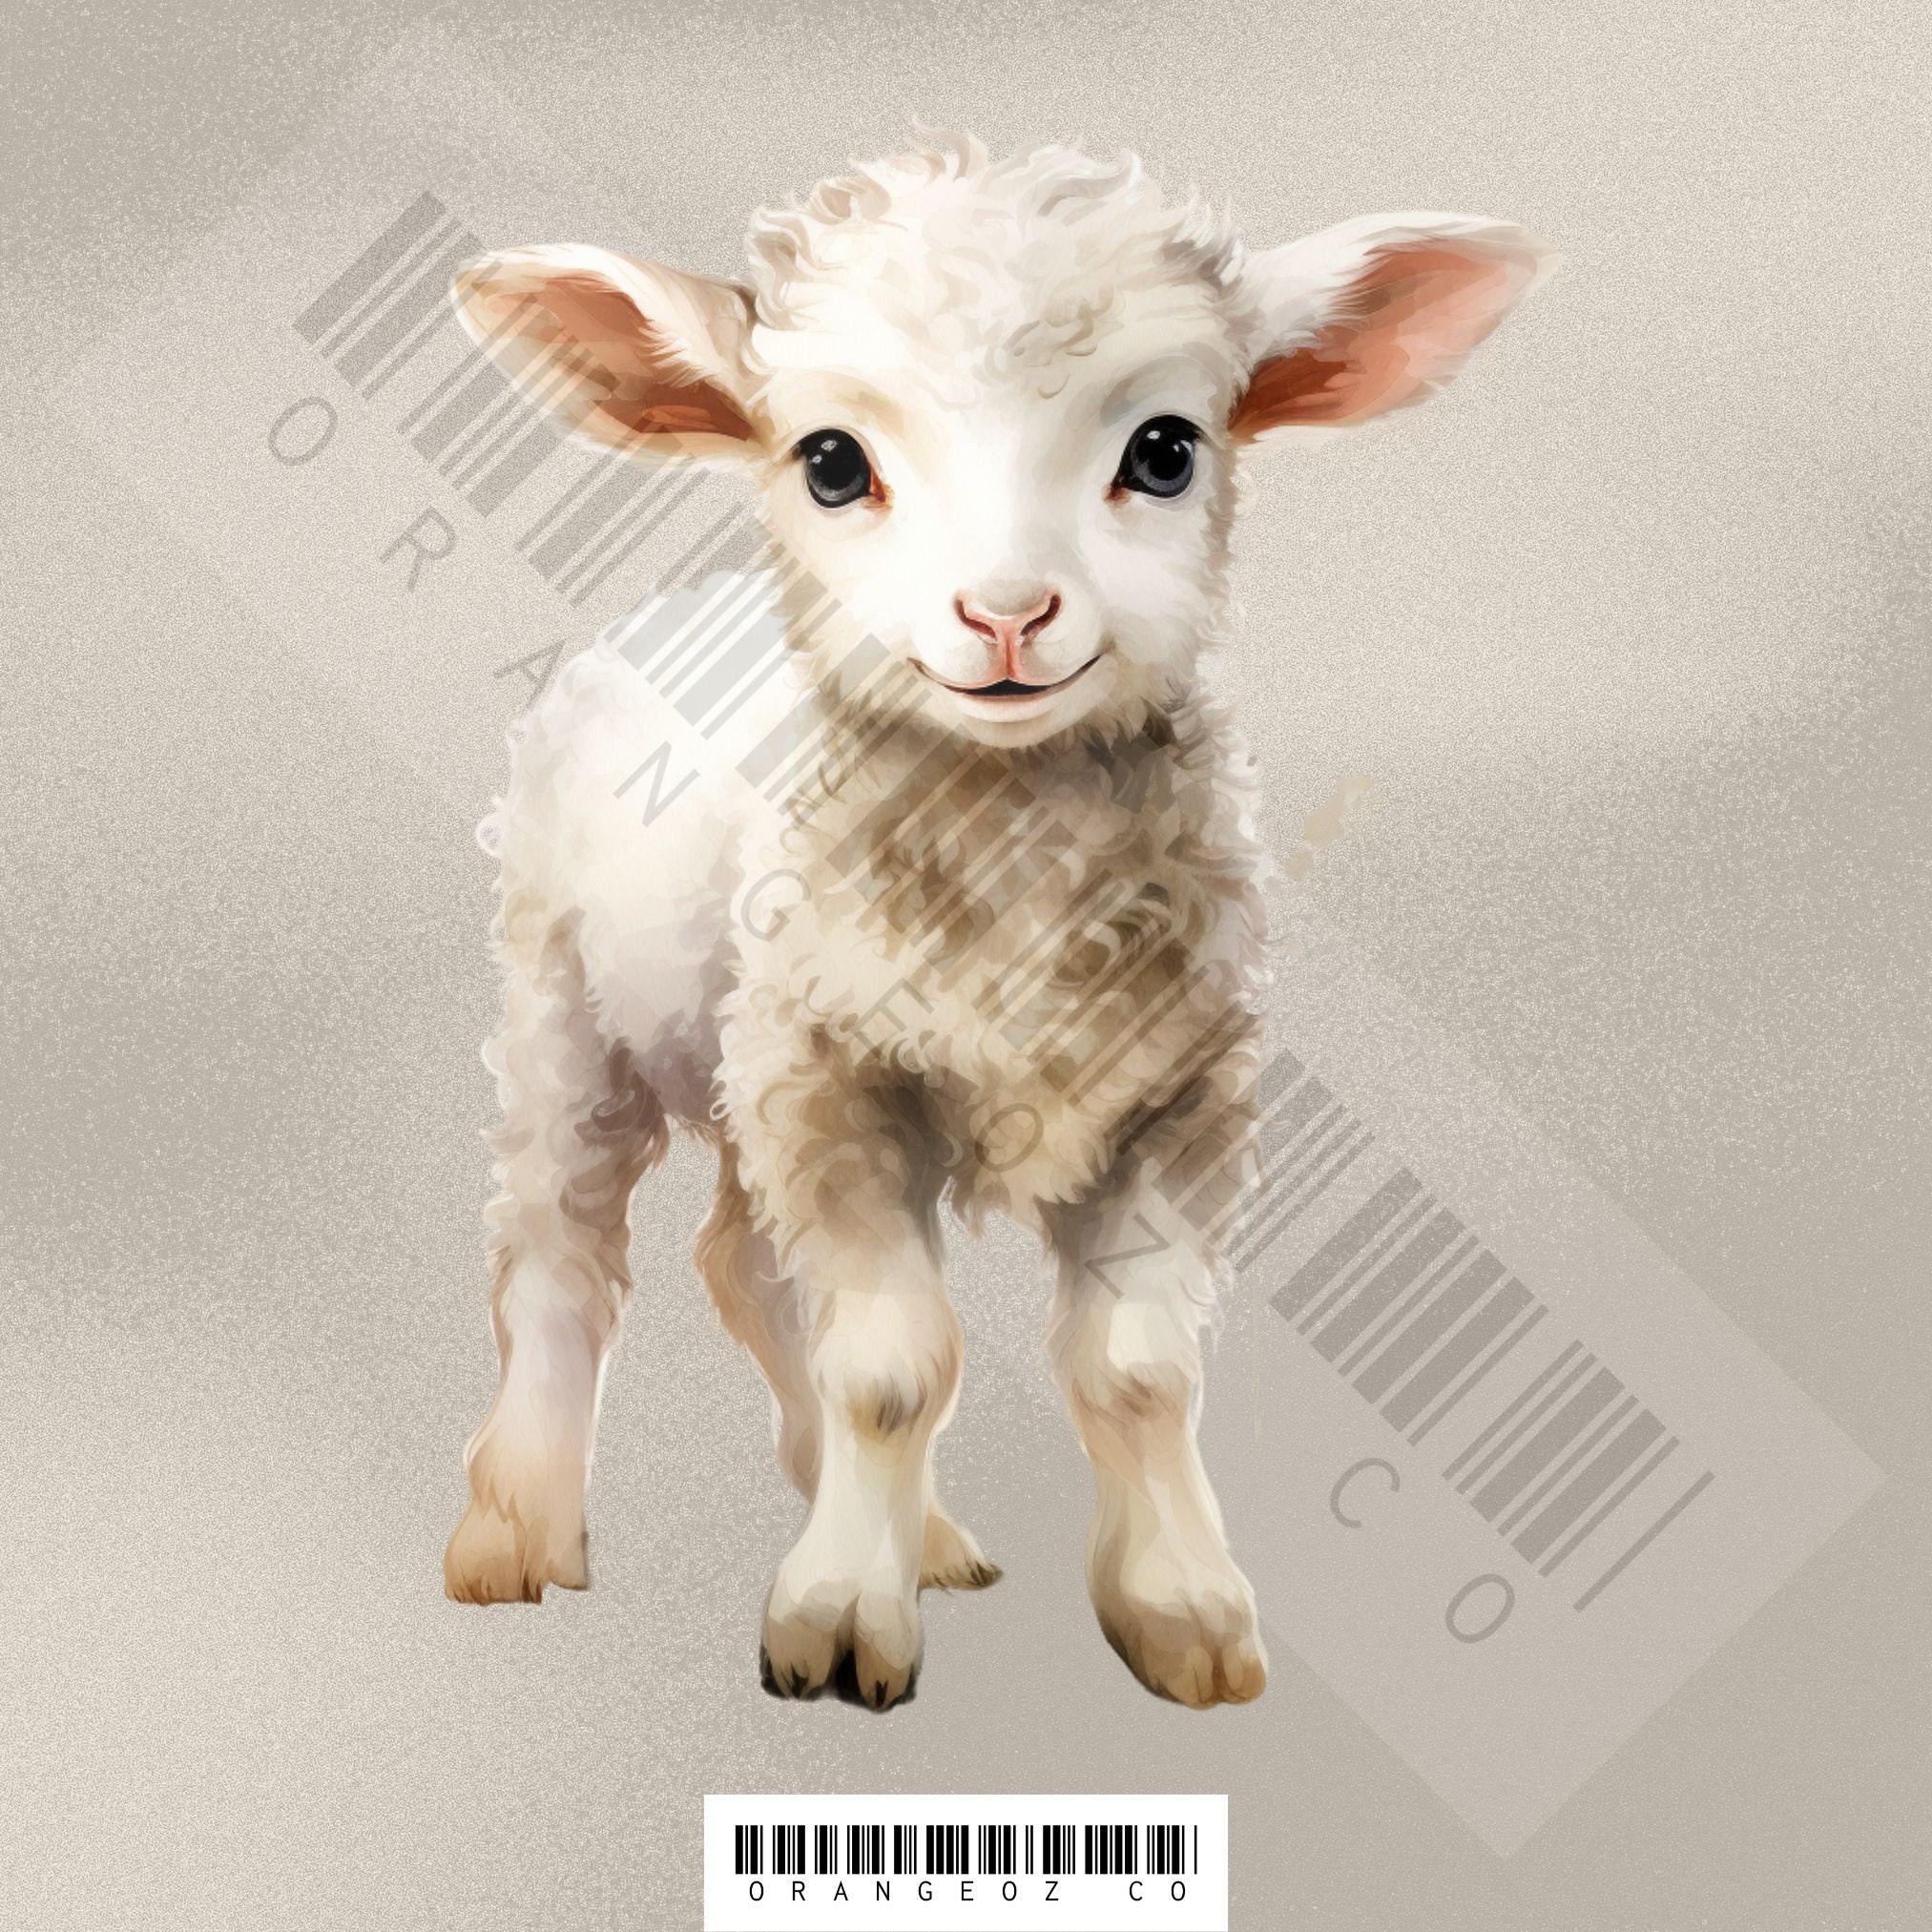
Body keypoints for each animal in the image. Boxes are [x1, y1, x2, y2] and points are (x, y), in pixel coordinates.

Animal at [439, 137, 1552, 1710]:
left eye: (1166, 449)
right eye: (829, 462)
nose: (1008, 613)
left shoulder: (1174, 1098)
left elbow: (1138, 1371)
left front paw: (1178, 1606)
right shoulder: (839, 1077)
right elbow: (889, 1369)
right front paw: (842, 1613)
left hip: (747, 1041)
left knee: (741, 1263)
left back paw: (929, 1535)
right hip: (565, 1004)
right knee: (557, 1262)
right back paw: (518, 1524)